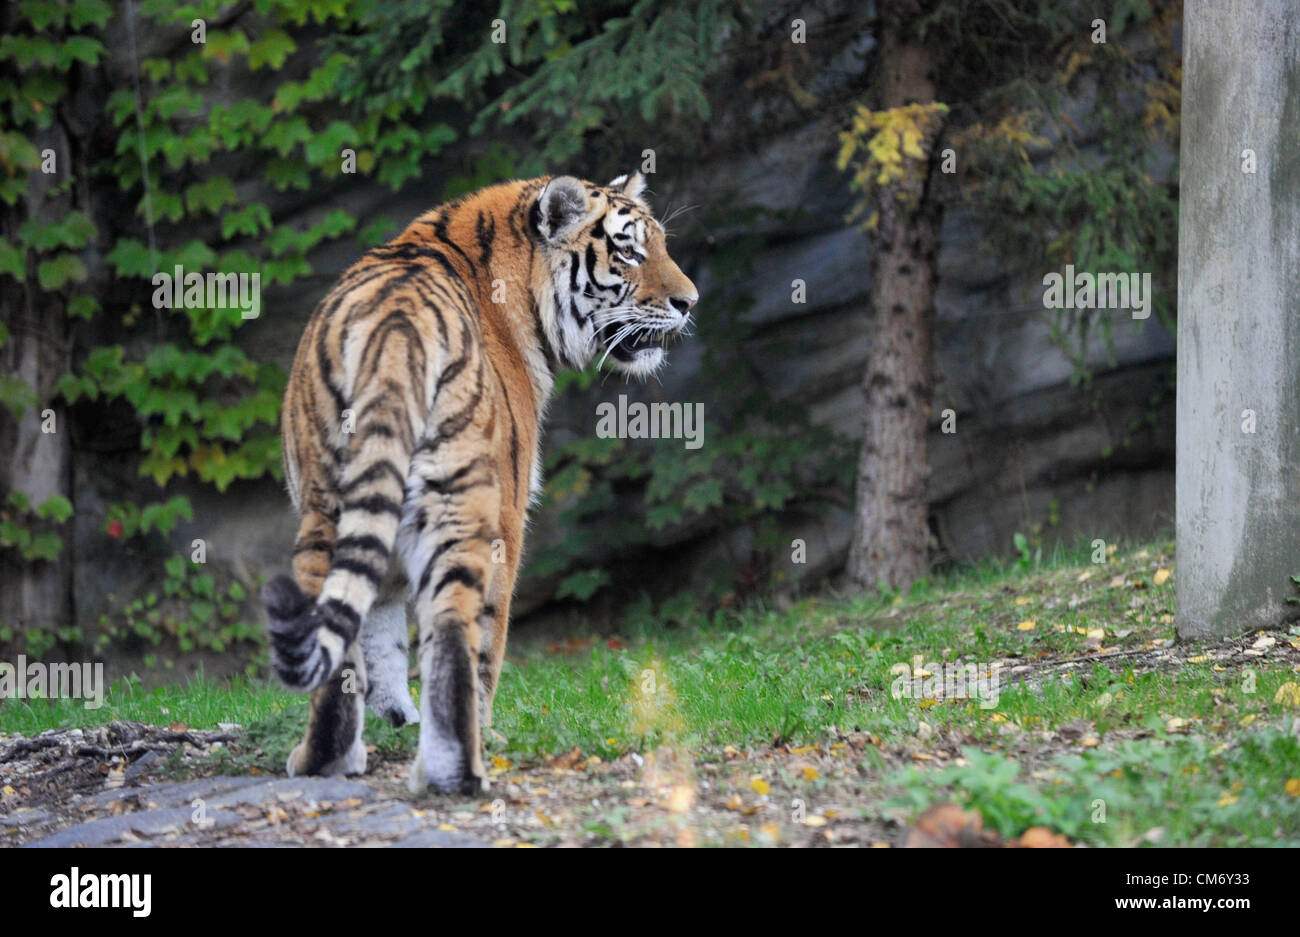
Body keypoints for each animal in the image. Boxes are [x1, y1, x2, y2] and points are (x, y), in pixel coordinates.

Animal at [262, 172, 698, 794]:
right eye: (630, 251)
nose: (690, 302)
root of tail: (394, 328)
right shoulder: (510, 513)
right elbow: (480, 643)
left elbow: (381, 629)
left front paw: (396, 715)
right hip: (466, 509)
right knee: (455, 634)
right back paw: (459, 767)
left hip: (325, 505)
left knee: (335, 630)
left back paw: (324, 758)